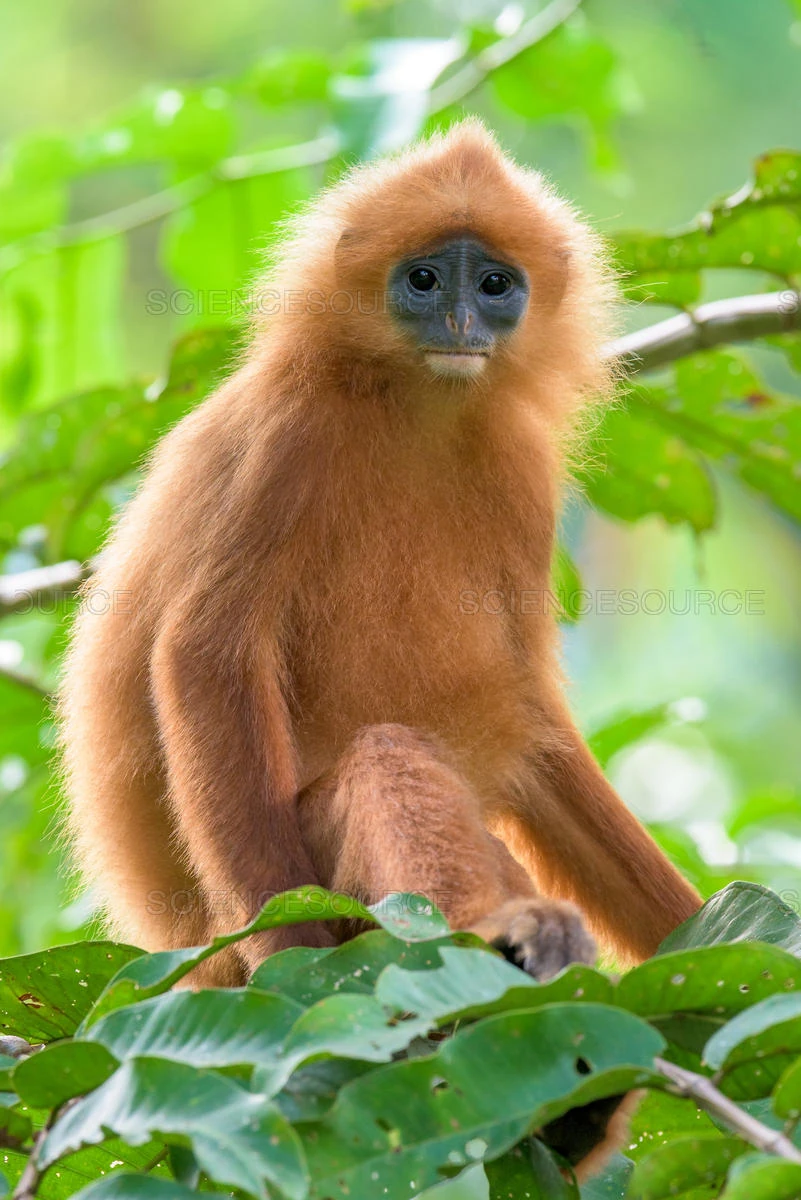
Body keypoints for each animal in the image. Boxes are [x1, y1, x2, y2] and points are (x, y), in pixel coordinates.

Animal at [59, 120, 701, 994]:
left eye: (494, 285)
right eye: (423, 280)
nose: (460, 323)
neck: (415, 406)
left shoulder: (523, 475)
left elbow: (534, 718)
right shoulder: (290, 432)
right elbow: (205, 654)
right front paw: (288, 953)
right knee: (384, 761)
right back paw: (497, 923)